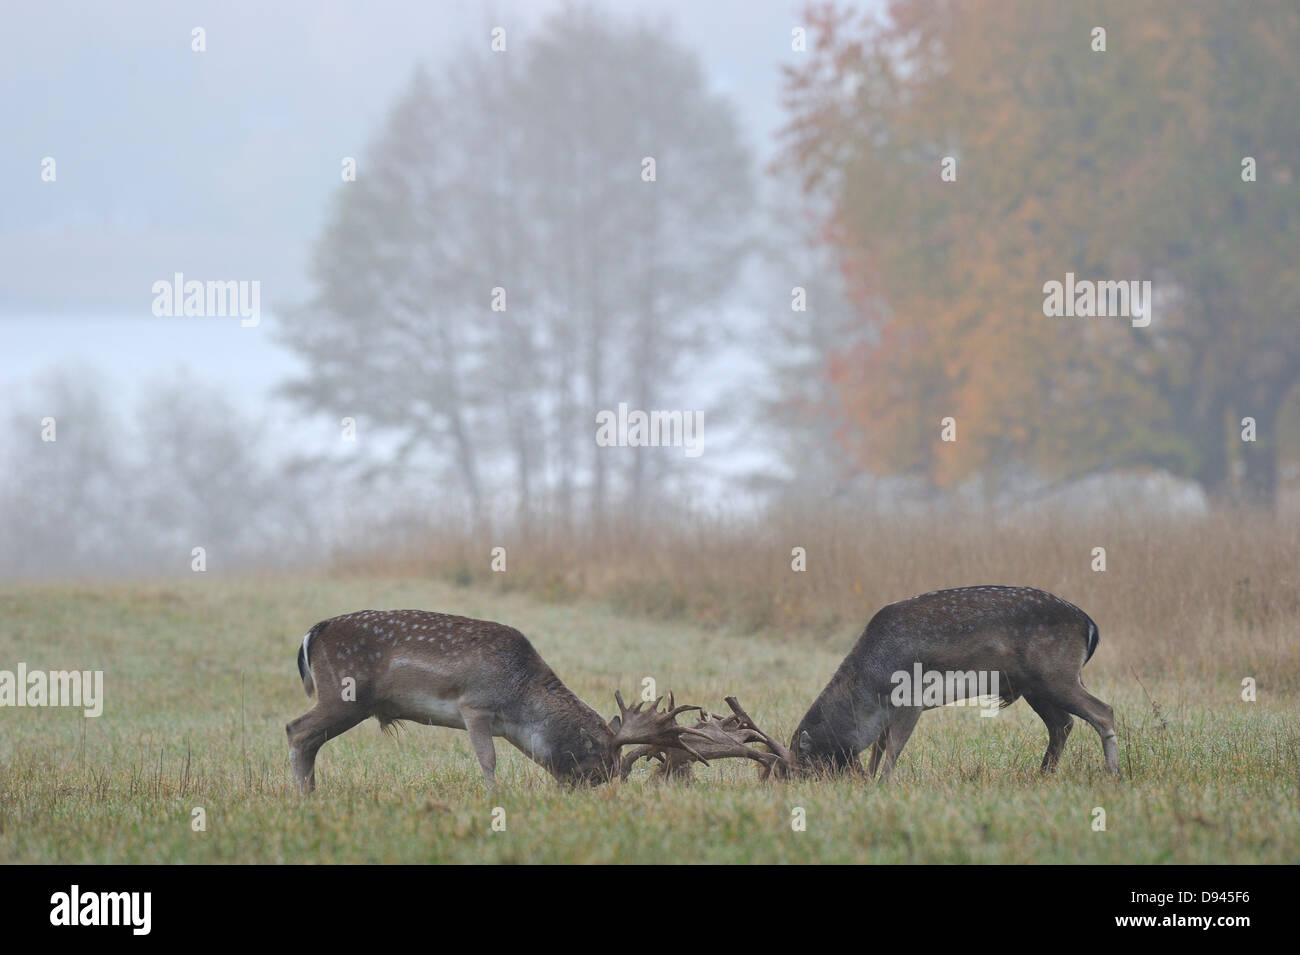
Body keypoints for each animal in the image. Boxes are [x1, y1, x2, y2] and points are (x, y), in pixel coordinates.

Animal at [284, 608, 710, 792]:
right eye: (600, 766)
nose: (587, 792)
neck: (518, 701)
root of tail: (311, 633)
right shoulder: (474, 705)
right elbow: (487, 760)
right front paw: (493, 795)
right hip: (344, 694)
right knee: (295, 729)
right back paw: (304, 796)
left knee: (305, 736)